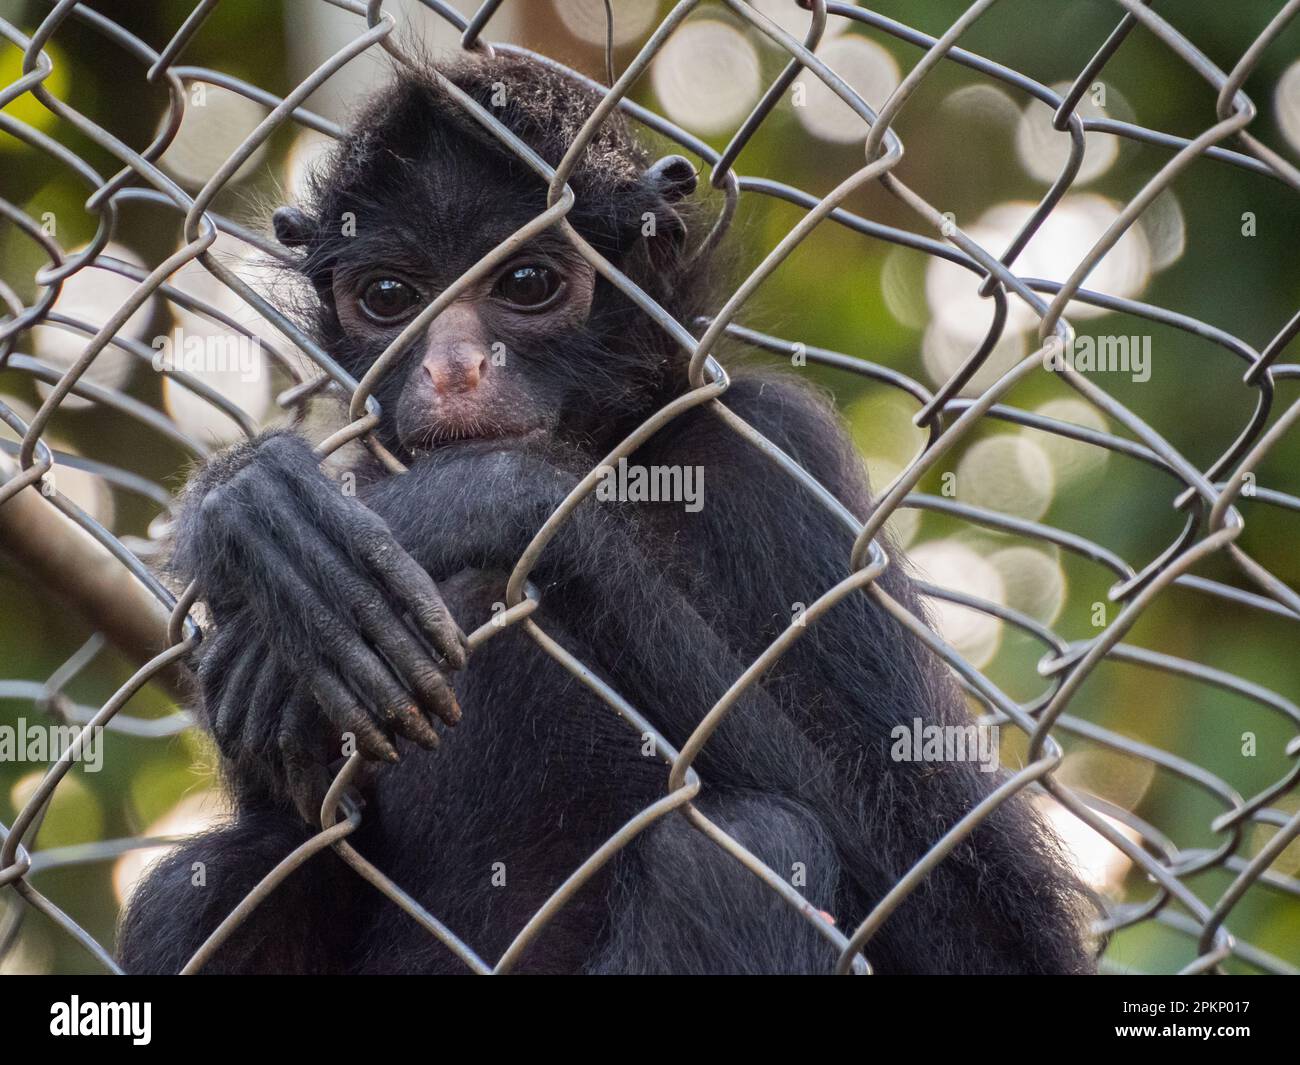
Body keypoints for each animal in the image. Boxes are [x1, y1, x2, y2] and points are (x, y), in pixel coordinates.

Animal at [118, 51, 1097, 975]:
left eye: (526, 282)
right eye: (390, 297)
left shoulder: (776, 454)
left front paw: (481, 498)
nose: (453, 368)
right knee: (202, 883)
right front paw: (248, 506)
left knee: (744, 848)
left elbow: (990, 941)